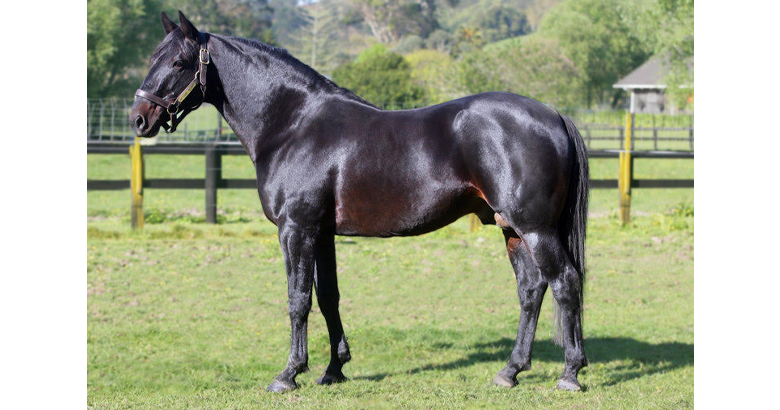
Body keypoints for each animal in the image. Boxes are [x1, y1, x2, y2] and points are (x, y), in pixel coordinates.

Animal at [130, 11, 590, 393]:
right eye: (154, 56)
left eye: (177, 62)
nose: (139, 118)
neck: (293, 124)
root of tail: (554, 115)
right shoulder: (322, 234)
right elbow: (327, 297)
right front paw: (334, 369)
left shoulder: (296, 230)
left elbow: (298, 299)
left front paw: (288, 374)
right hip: (512, 229)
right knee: (531, 290)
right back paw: (511, 371)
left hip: (535, 228)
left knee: (565, 282)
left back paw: (570, 373)